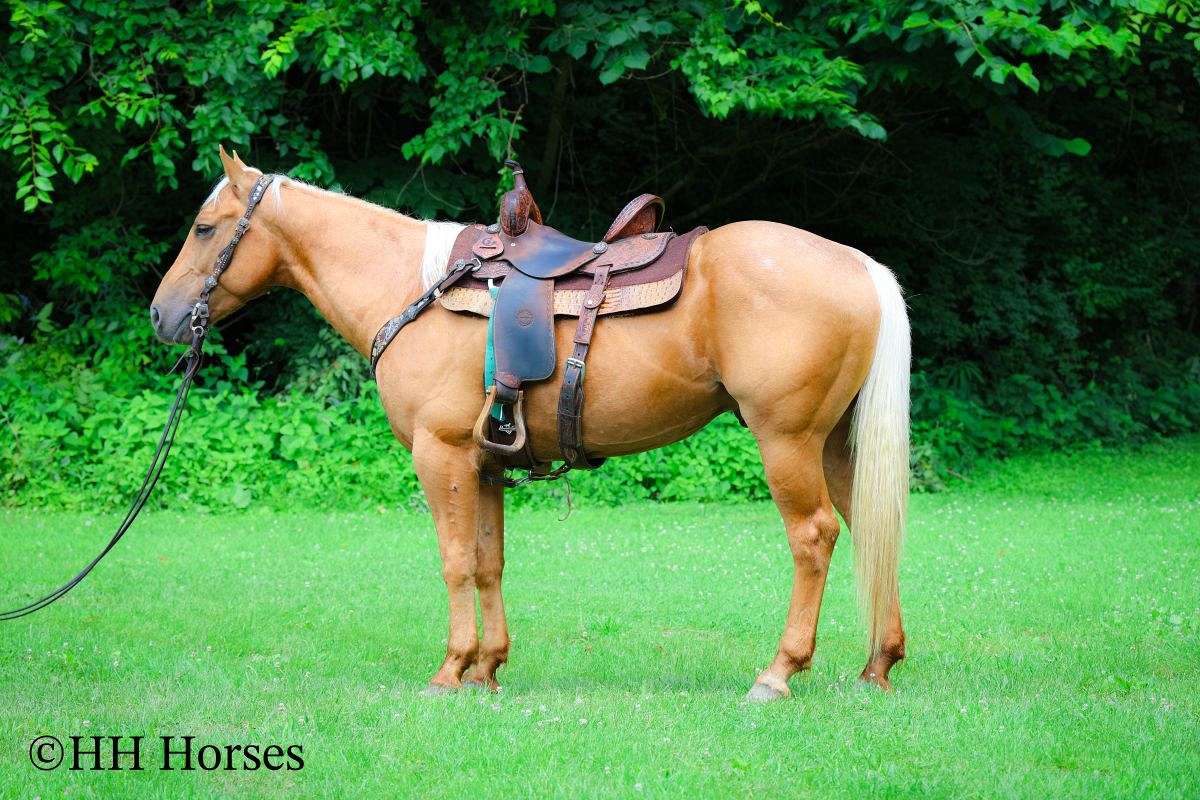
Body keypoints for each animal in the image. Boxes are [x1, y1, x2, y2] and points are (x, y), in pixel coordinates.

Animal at [150, 146, 911, 700]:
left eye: (205, 229)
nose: (162, 315)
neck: (411, 288)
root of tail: (859, 265)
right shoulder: (483, 462)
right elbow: (489, 563)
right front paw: (487, 667)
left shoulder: (440, 454)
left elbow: (455, 561)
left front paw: (450, 670)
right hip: (836, 446)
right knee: (873, 531)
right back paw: (878, 664)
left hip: (787, 441)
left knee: (814, 537)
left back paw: (777, 674)